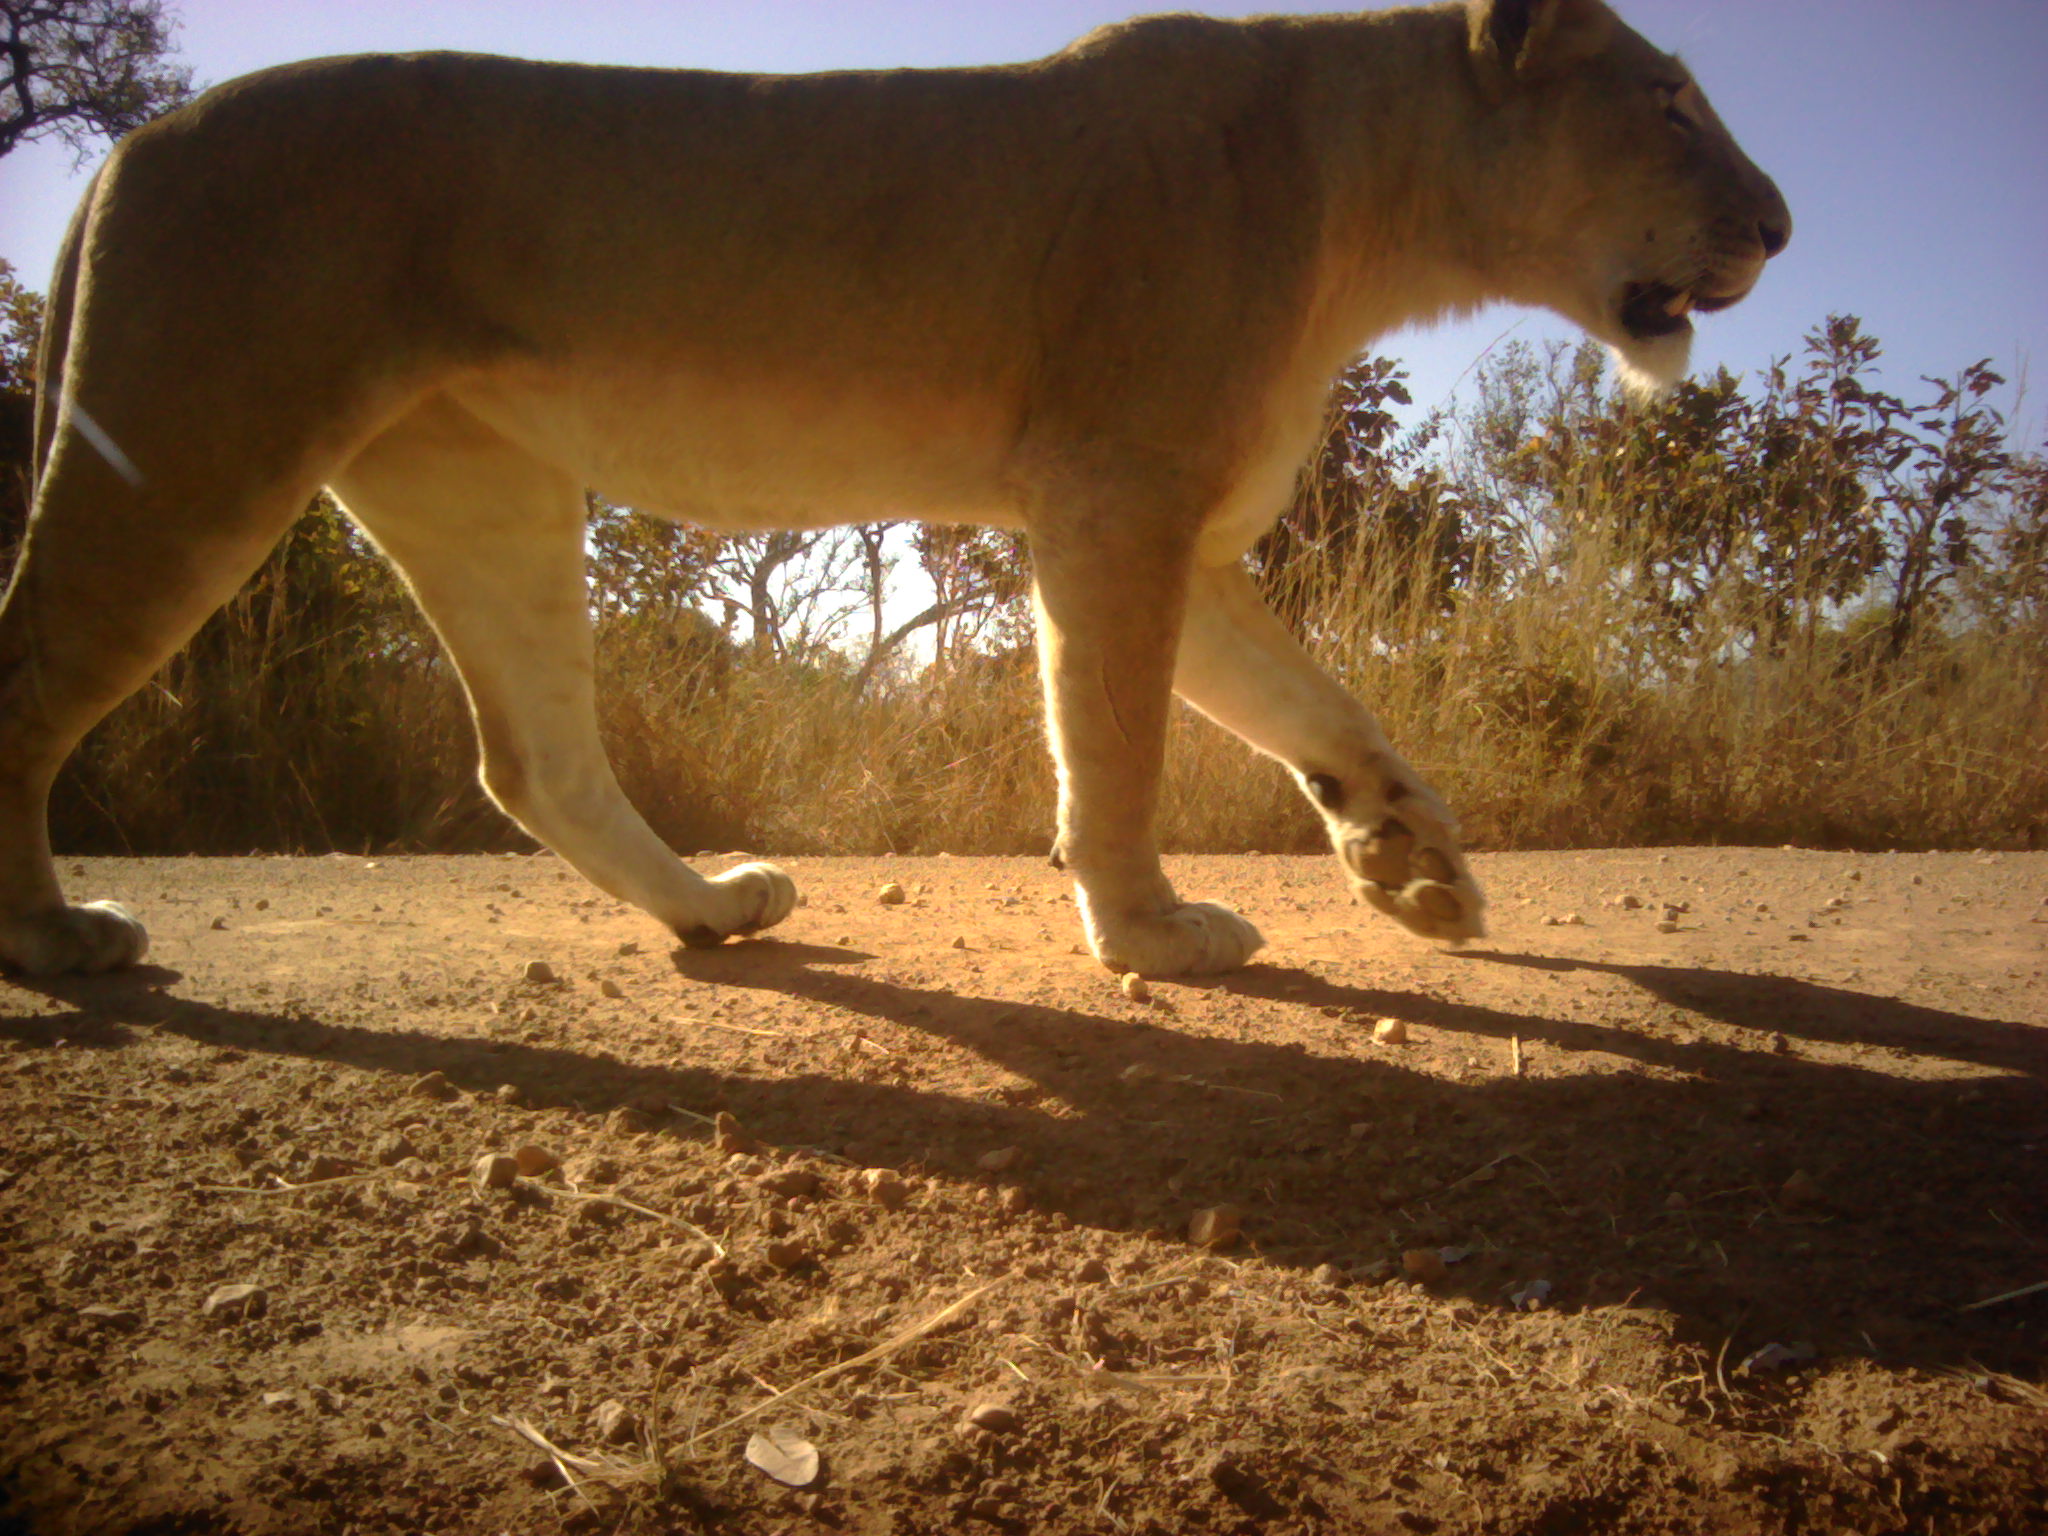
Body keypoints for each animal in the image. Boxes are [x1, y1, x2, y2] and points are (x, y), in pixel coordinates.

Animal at [0, 0, 1786, 977]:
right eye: (1670, 100)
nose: (1777, 223)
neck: (1380, 213)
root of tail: (138, 135)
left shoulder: (1172, 523)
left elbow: (1310, 703)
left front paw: (1408, 865)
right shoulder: (1115, 497)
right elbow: (1117, 749)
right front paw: (1154, 937)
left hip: (478, 485)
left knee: (536, 760)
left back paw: (713, 908)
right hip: (193, 442)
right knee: (32, 675)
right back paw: (56, 938)